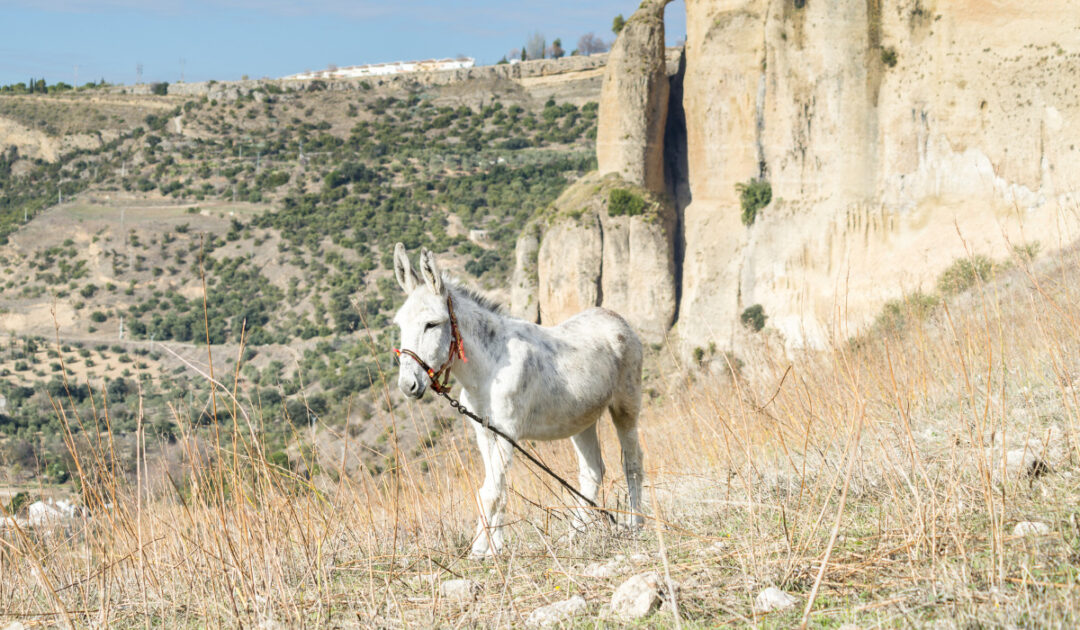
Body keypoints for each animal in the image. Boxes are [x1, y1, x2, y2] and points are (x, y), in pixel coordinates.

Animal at [391, 243, 645, 559]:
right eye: (399, 325)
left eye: (431, 324)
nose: (408, 385)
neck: (489, 369)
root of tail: (614, 316)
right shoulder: (485, 431)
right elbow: (496, 489)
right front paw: (494, 547)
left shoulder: (507, 432)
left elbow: (491, 491)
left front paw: (479, 550)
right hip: (581, 420)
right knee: (592, 472)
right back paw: (575, 534)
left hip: (626, 404)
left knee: (632, 462)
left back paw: (635, 525)